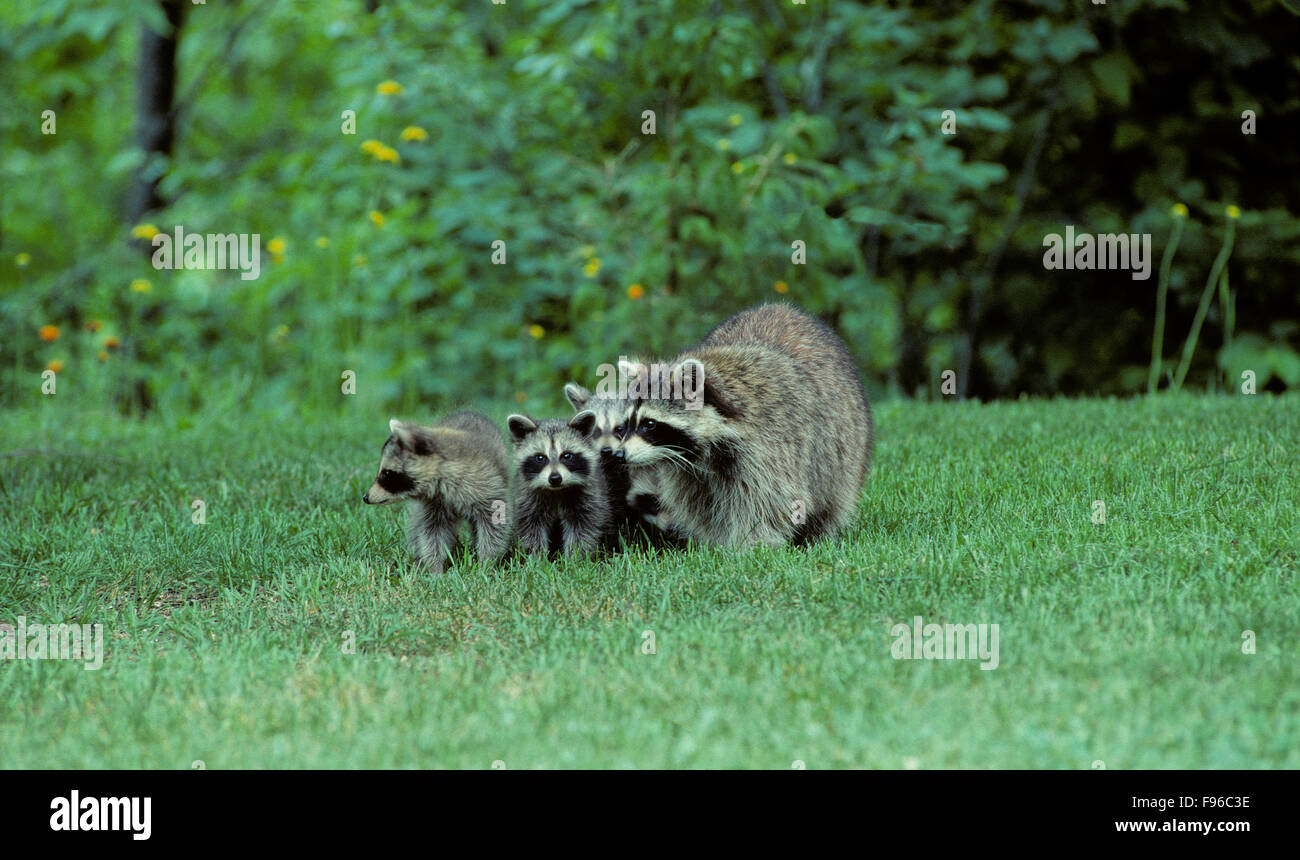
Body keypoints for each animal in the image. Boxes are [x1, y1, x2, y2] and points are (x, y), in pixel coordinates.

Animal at [363, 411, 511, 575]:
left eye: (386, 474)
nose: (365, 497)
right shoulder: (432, 503)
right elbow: (431, 533)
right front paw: (434, 567)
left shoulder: (485, 485)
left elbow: (493, 527)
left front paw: (486, 563)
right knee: (417, 525)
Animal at [508, 412, 611, 558]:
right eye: (540, 457)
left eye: (566, 455)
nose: (555, 478)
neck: (556, 490)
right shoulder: (527, 498)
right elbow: (530, 528)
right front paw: (536, 557)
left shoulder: (588, 497)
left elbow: (583, 529)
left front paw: (575, 558)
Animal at [614, 303, 872, 548]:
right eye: (625, 425)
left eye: (649, 424)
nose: (618, 454)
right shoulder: (687, 470)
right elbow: (701, 504)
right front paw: (714, 542)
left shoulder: (771, 446)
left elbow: (766, 502)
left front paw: (750, 544)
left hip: (844, 447)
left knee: (833, 496)